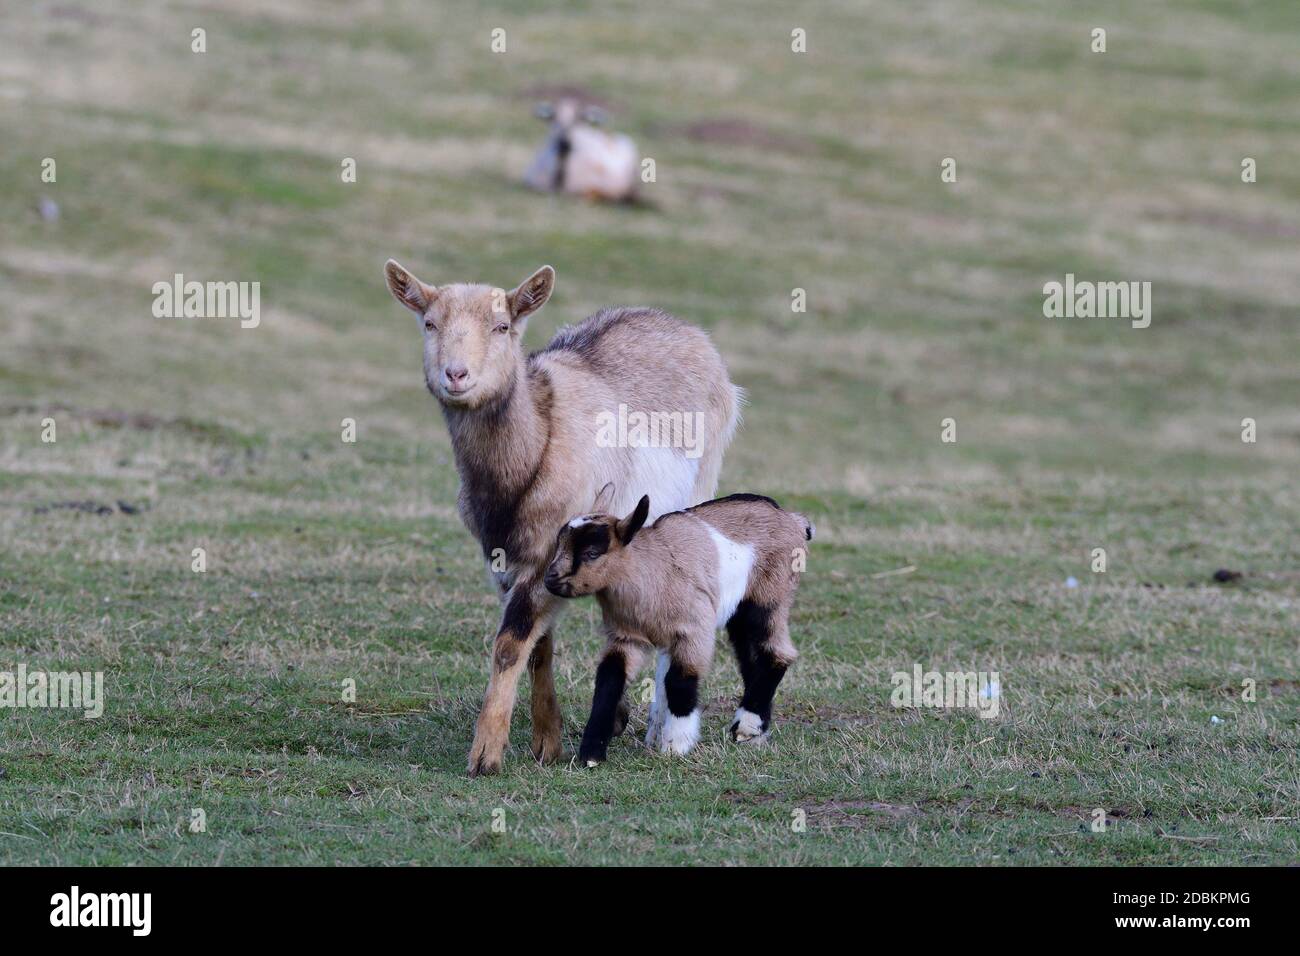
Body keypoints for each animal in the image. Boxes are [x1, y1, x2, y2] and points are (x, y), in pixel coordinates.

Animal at [384, 260, 740, 775]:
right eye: (429, 323)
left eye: (503, 326)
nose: (456, 374)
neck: (537, 442)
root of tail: (685, 328)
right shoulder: (505, 561)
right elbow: (538, 644)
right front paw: (546, 741)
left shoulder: (548, 554)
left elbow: (510, 644)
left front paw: (486, 755)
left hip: (698, 484)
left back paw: (660, 731)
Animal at [543, 492, 814, 765]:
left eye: (591, 553)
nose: (550, 579)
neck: (651, 572)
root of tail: (794, 520)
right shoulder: (627, 636)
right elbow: (609, 678)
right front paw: (592, 753)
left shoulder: (695, 629)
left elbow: (679, 680)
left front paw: (677, 744)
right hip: (740, 615)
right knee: (750, 660)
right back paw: (752, 733)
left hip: (768, 598)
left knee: (777, 653)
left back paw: (746, 726)